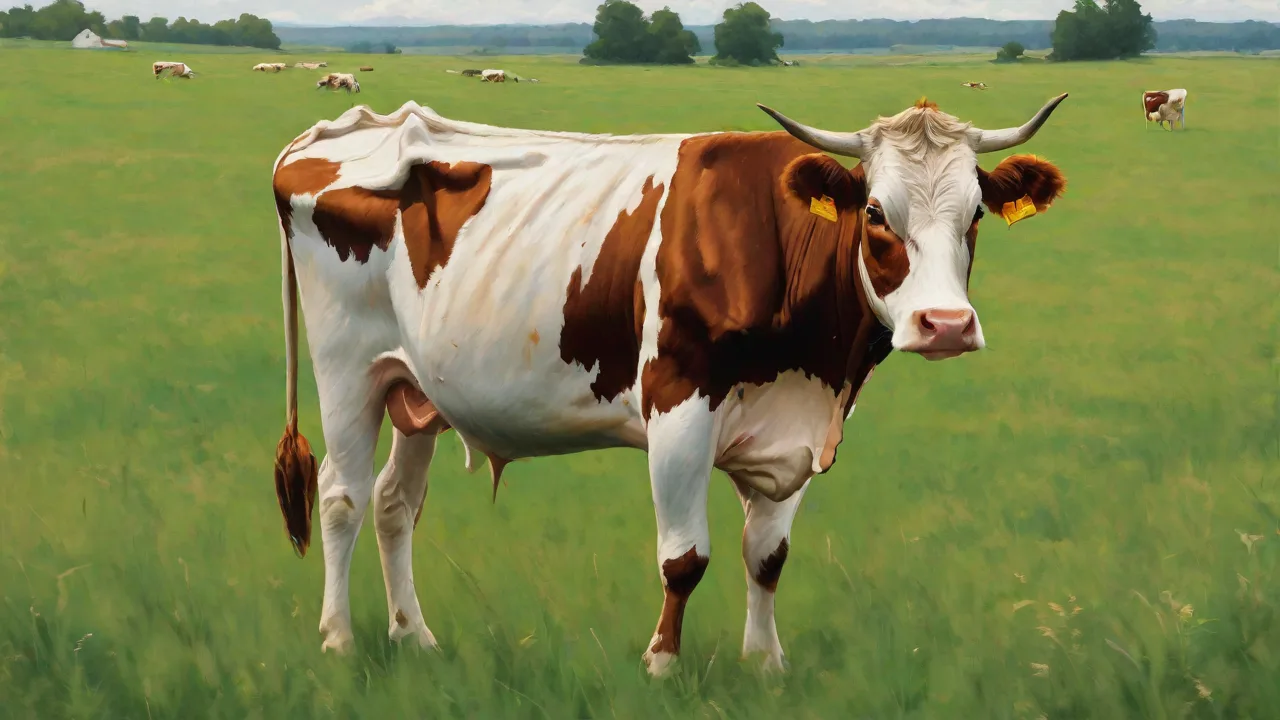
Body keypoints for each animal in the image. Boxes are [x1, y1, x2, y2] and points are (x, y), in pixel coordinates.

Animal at [270, 94, 1069, 676]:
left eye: (974, 214)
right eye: (876, 213)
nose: (946, 325)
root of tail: (340, 129)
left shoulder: (791, 432)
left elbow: (766, 556)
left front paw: (766, 665)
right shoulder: (679, 405)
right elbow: (684, 558)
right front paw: (661, 665)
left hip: (414, 389)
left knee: (395, 505)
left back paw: (414, 637)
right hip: (348, 368)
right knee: (341, 496)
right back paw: (339, 640)